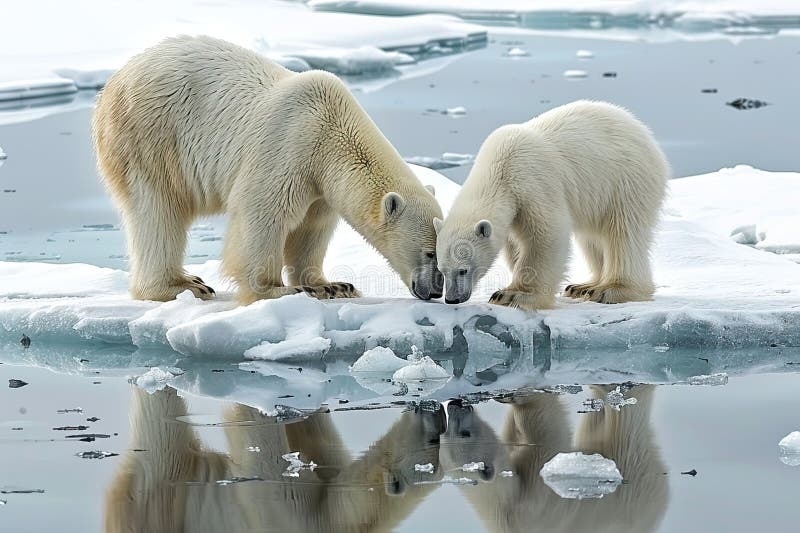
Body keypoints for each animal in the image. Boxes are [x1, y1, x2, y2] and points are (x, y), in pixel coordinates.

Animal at [92, 35, 444, 305]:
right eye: (430, 253)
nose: (436, 291)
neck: (331, 128)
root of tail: (115, 80)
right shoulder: (289, 145)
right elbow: (262, 213)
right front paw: (277, 290)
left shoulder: (319, 184)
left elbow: (312, 228)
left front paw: (333, 285)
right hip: (151, 136)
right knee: (158, 212)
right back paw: (181, 285)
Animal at [434, 100, 669, 310]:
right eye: (441, 269)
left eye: (463, 270)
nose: (452, 299)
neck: (499, 167)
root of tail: (644, 133)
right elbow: (514, 243)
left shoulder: (533, 183)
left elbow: (546, 235)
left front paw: (512, 295)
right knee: (592, 236)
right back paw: (583, 286)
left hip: (625, 181)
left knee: (623, 233)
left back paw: (611, 290)